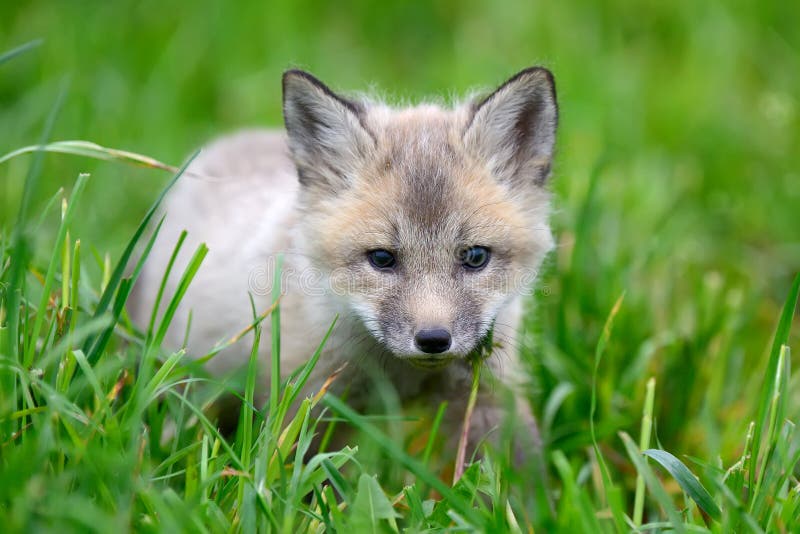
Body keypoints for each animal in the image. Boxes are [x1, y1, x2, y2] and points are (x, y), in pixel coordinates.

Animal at [133, 66, 558, 463]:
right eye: (382, 258)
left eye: (474, 257)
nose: (434, 340)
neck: (402, 376)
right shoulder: (309, 402)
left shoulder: (488, 391)